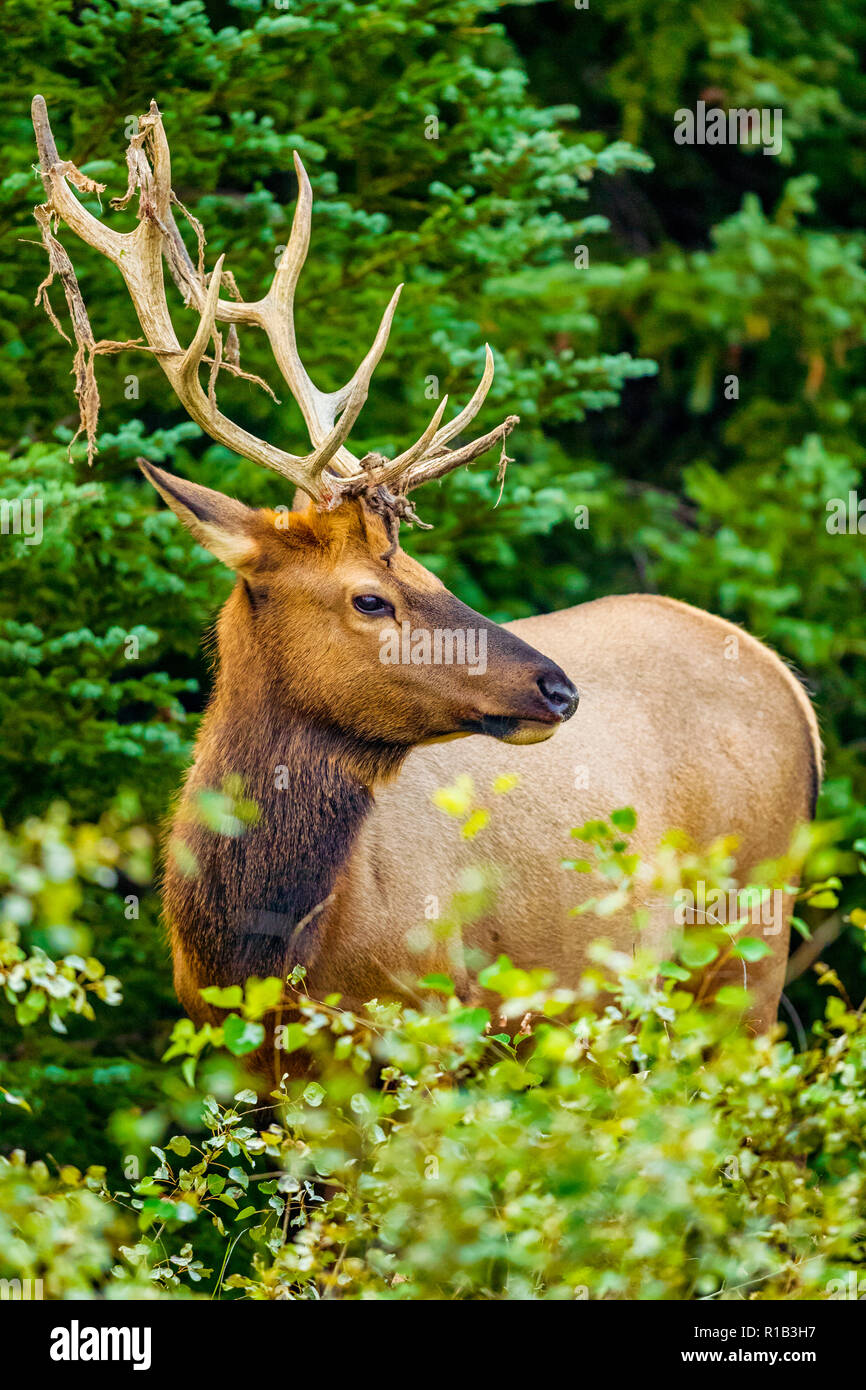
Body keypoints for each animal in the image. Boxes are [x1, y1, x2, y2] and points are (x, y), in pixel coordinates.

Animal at [32, 97, 822, 1080]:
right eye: (373, 596)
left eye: (428, 572)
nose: (559, 689)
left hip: (748, 953)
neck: (262, 952)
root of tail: (791, 688)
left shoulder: (430, 1027)